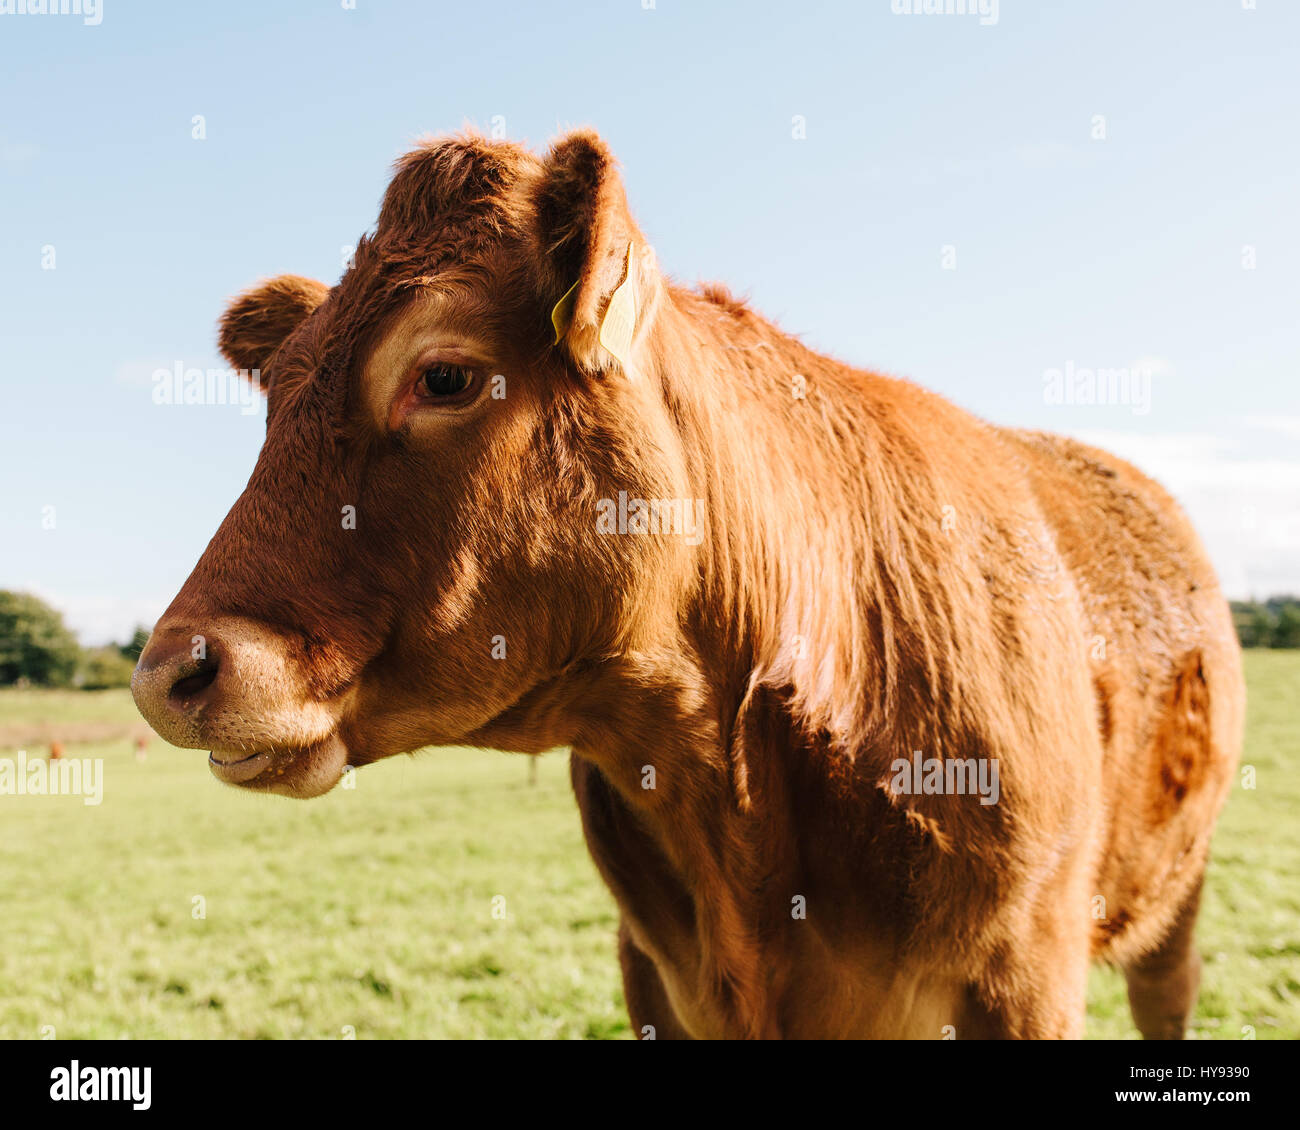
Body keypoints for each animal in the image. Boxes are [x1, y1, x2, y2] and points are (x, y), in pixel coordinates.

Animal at [131, 129, 1244, 1039]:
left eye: (442, 375)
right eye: (274, 401)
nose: (168, 674)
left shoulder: (1028, 971)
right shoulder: (653, 975)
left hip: (1175, 902)